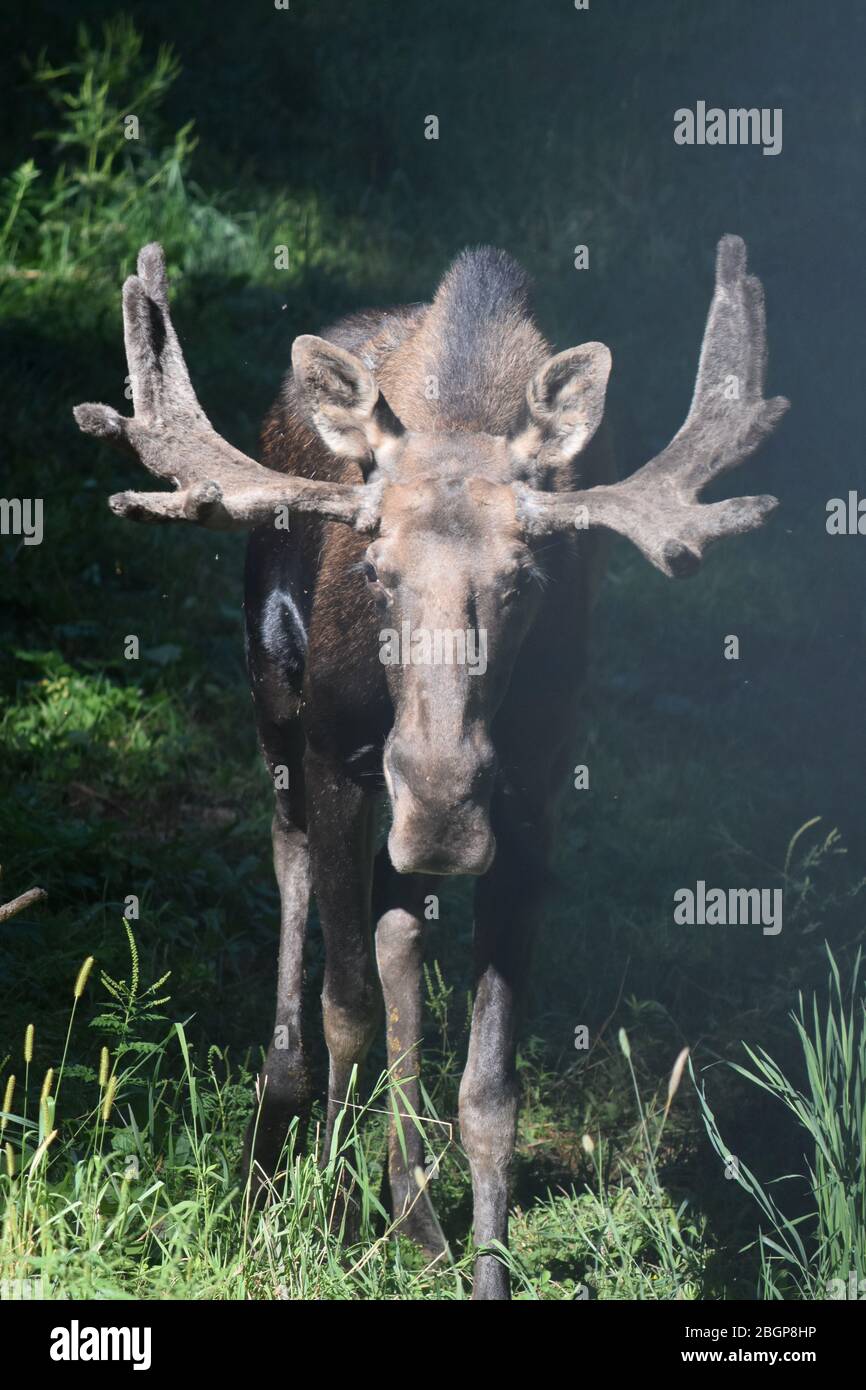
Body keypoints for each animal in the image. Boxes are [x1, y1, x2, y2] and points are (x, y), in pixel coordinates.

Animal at [74, 234, 787, 1299]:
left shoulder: (534, 798)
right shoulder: (334, 756)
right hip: (277, 715)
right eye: (375, 571)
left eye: (526, 577)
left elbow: (491, 1088)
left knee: (398, 923)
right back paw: (270, 1171)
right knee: (297, 891)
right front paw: (324, 1230)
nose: (444, 809)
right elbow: (346, 1010)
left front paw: (481, 1269)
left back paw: (413, 1215)